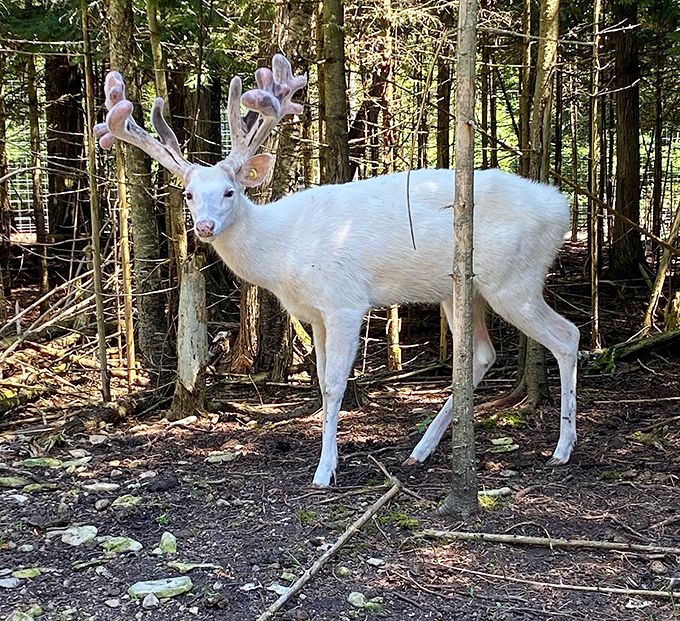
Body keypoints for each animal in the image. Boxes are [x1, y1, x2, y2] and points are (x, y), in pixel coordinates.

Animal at [95, 55, 580, 488]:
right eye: (190, 195)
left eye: (230, 191)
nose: (205, 227)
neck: (283, 252)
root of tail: (562, 210)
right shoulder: (314, 313)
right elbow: (321, 382)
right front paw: (328, 459)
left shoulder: (345, 301)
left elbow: (332, 385)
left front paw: (324, 471)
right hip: (462, 290)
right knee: (482, 354)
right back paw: (421, 450)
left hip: (515, 278)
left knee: (567, 335)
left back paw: (562, 448)